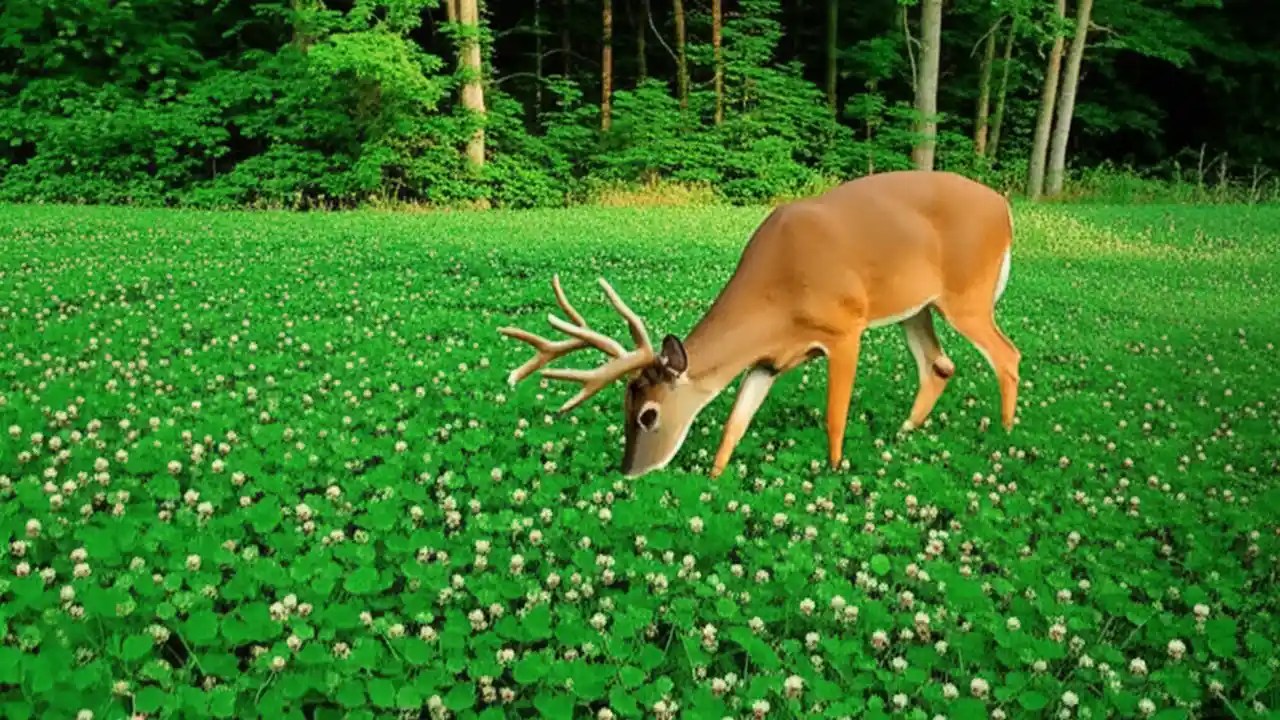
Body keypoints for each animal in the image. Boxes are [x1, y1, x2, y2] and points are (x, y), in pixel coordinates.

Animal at [498, 170, 1021, 478]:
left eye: (648, 414)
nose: (628, 472)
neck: (779, 294)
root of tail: (1005, 209)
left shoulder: (844, 328)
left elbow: (834, 415)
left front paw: (834, 471)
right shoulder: (767, 360)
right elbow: (735, 420)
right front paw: (715, 477)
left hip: (967, 296)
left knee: (1007, 354)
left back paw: (1004, 433)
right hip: (916, 307)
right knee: (938, 365)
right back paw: (904, 432)